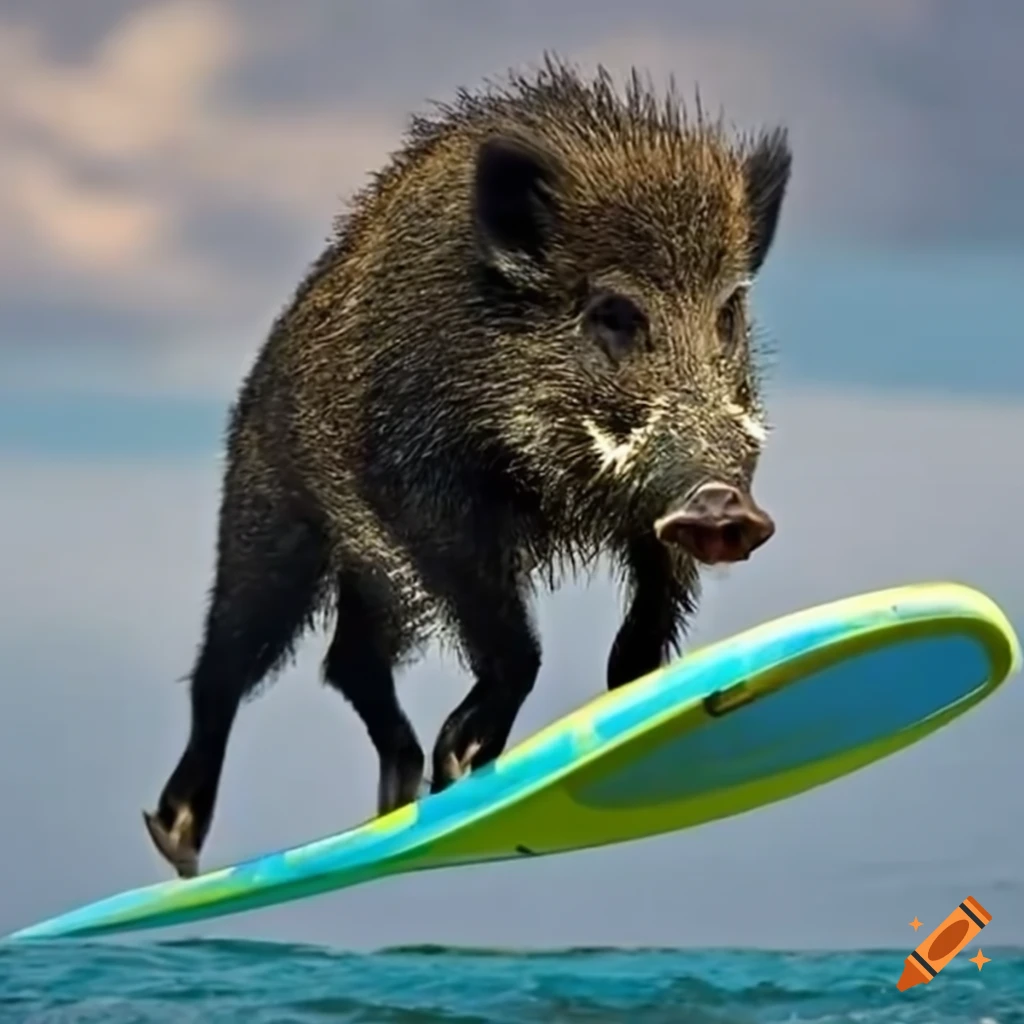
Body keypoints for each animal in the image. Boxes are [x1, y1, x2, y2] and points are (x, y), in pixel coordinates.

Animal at [143, 56, 791, 879]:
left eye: (728, 315)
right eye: (613, 314)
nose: (723, 507)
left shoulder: (647, 515)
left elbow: (649, 613)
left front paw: (631, 704)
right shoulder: (428, 496)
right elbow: (515, 641)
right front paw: (466, 764)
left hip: (369, 579)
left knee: (347, 660)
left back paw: (398, 797)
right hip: (271, 521)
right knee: (227, 667)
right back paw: (181, 842)